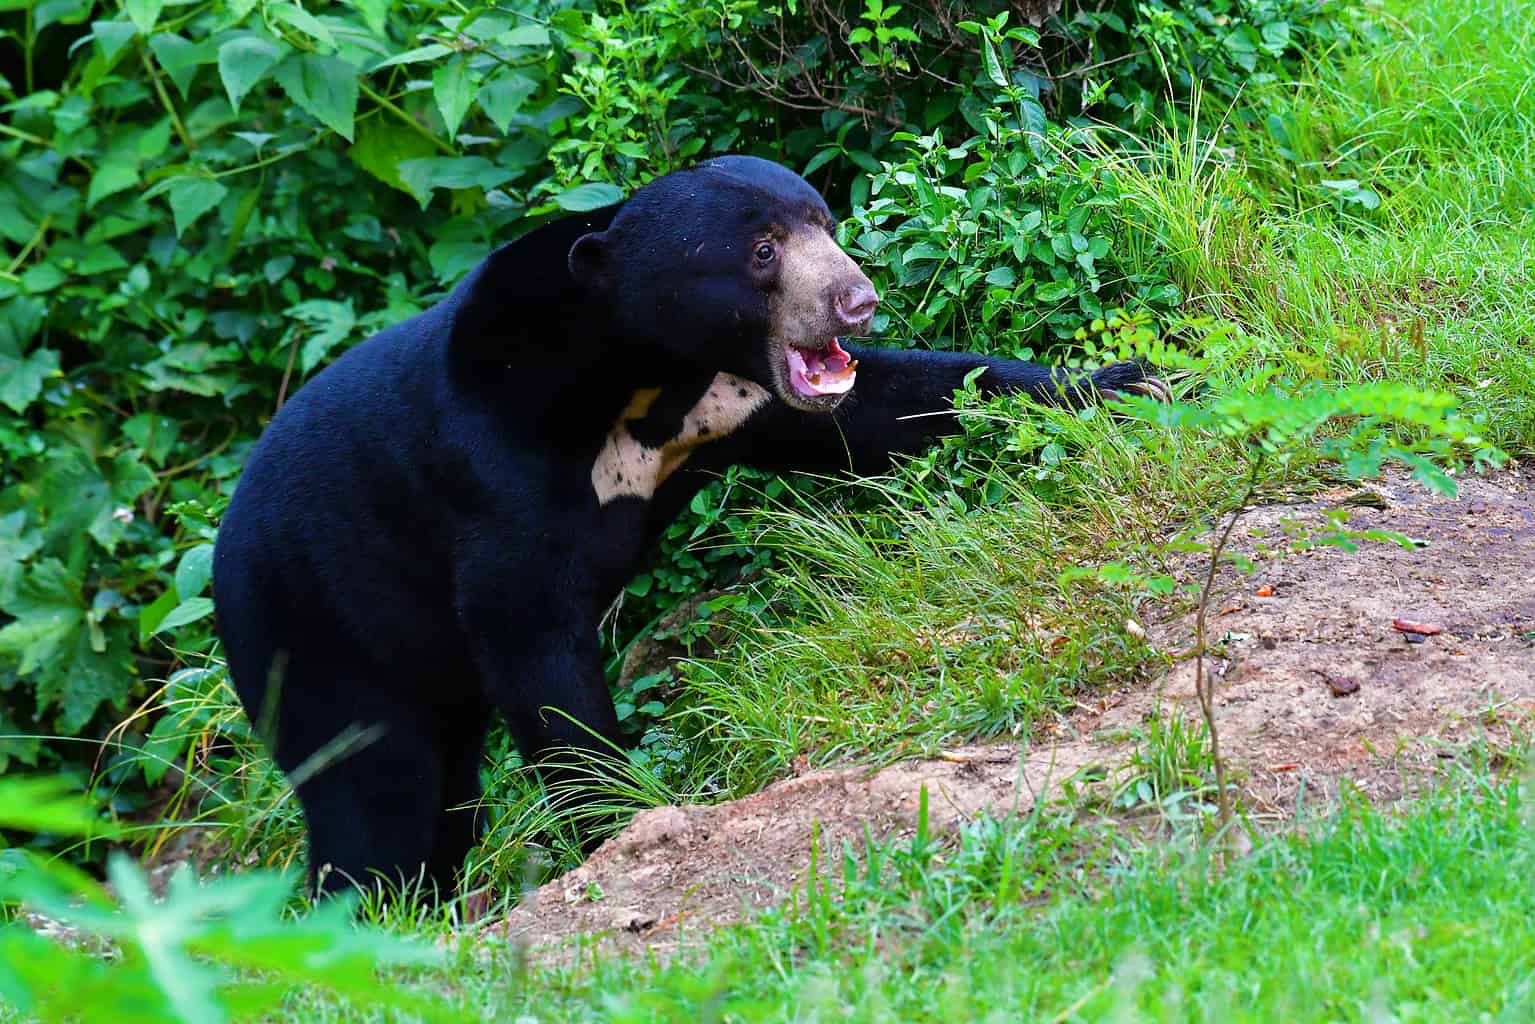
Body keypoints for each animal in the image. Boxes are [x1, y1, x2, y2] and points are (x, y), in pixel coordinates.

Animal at [211, 155, 1167, 901]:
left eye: (825, 223)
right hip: (320, 637)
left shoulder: (735, 399)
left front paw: (1125, 383)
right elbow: (531, 637)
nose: (855, 300)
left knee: (444, 792)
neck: (639, 377)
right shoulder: (491, 470)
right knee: (376, 799)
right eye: (761, 251)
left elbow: (891, 405)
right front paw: (622, 823)